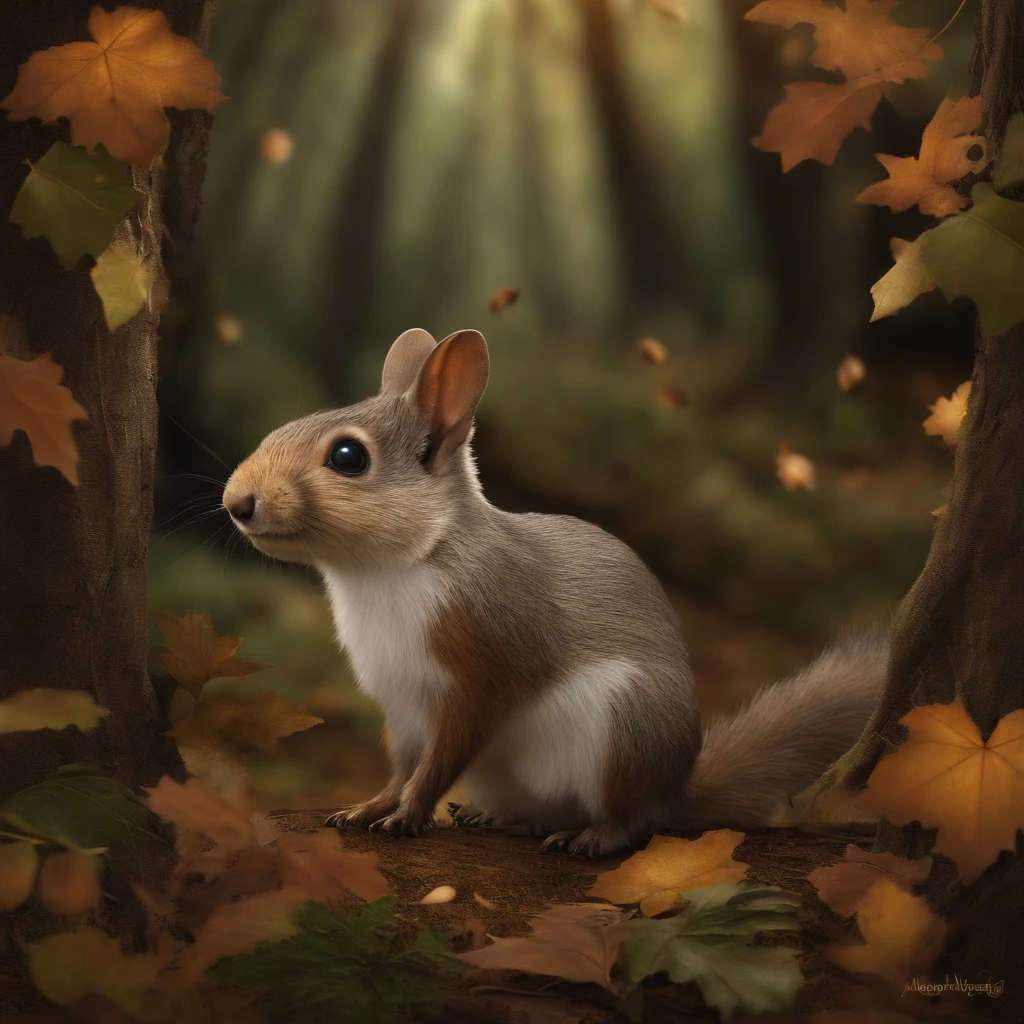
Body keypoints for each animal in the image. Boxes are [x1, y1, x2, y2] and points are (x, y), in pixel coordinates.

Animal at [222, 327, 886, 857]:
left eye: (348, 456)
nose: (236, 502)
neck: (383, 573)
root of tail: (673, 788)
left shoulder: (486, 665)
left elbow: (441, 758)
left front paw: (409, 813)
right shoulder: (401, 702)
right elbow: (404, 763)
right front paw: (374, 804)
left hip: (627, 728)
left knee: (632, 819)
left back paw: (591, 836)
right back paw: (497, 816)